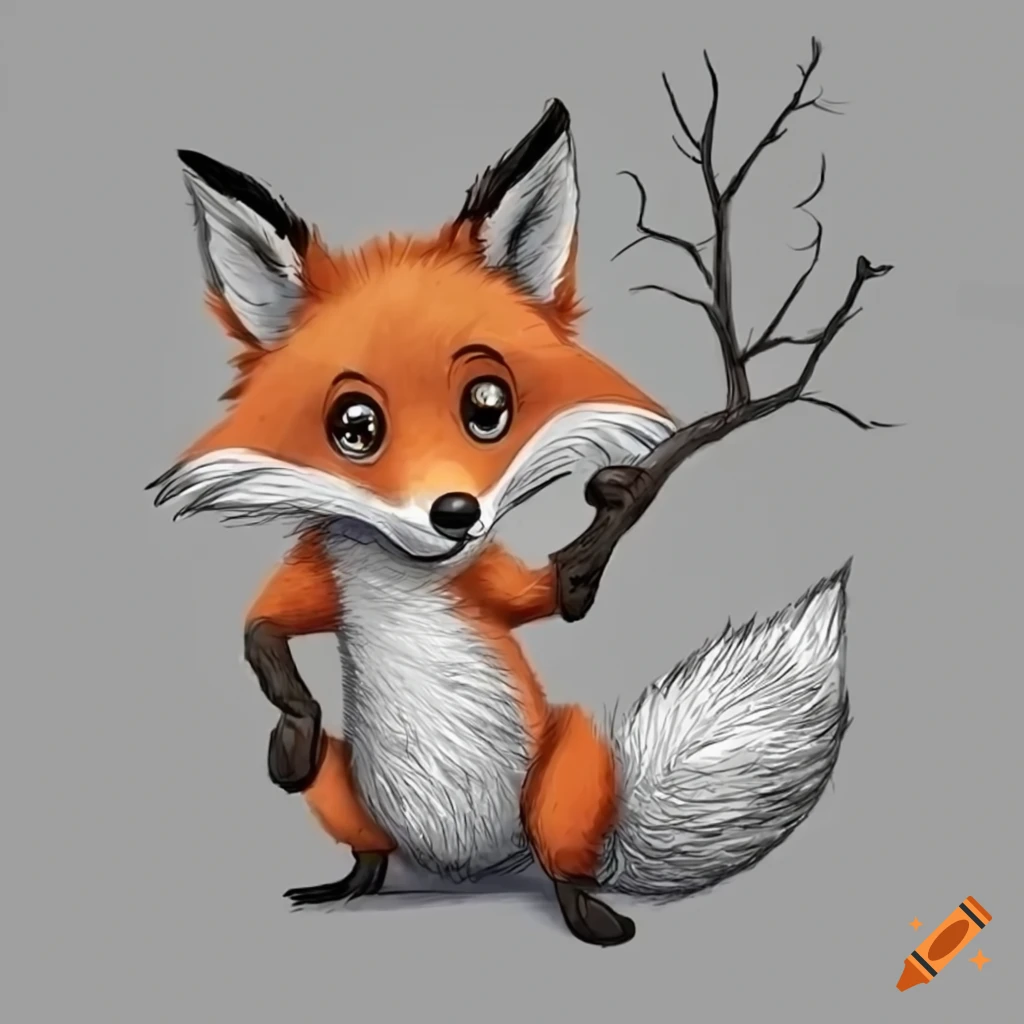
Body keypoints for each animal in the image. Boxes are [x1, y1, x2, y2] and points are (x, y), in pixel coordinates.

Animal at [150, 98, 851, 947]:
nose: (457, 512)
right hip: (346, 787)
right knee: (363, 839)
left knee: (565, 863)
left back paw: (591, 914)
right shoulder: (319, 574)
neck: (408, 579)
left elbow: (561, 592)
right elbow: (263, 629)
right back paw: (345, 879)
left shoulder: (493, 579)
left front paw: (620, 494)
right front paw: (291, 730)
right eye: (355, 427)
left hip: (565, 770)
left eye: (488, 407)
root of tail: (470, 867)